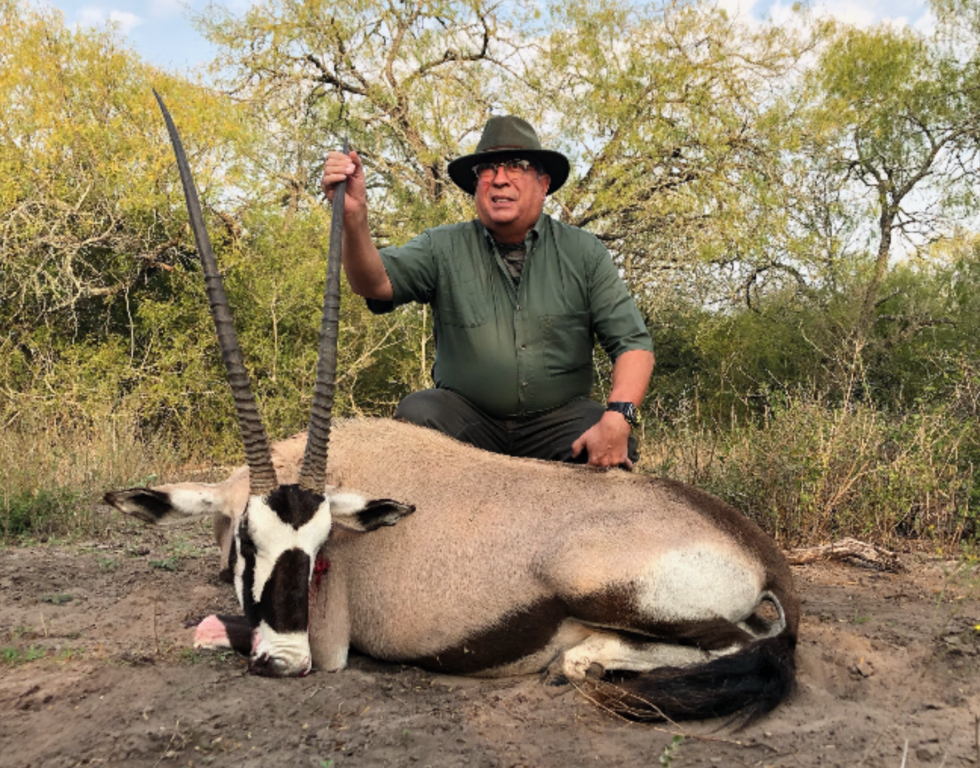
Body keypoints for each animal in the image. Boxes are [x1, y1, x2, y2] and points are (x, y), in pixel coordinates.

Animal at [109, 92, 800, 725]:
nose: (284, 661)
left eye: (321, 549)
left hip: (610, 589)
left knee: (748, 640)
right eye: (249, 542)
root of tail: (756, 546)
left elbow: (210, 627)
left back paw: (577, 661)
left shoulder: (328, 641)